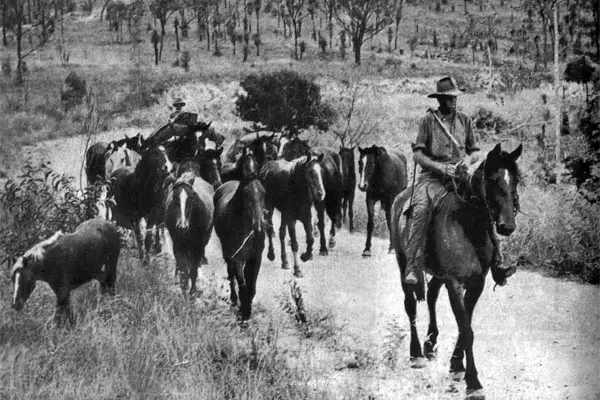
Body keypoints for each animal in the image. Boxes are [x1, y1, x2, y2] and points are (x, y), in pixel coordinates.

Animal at [213, 150, 264, 322]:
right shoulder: (236, 257)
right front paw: (244, 310)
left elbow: (252, 284)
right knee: (231, 275)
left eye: (263, 193)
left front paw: (248, 307)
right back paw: (235, 301)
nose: (259, 227)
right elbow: (241, 282)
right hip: (228, 253)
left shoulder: (256, 257)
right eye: (246, 194)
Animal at [392, 142, 524, 398]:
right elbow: (466, 329)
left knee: (431, 295)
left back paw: (430, 344)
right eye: (493, 179)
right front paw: (473, 382)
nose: (507, 226)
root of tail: (399, 197)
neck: (467, 224)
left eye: (515, 179)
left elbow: (465, 326)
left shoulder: (476, 283)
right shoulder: (454, 283)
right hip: (403, 262)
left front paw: (456, 366)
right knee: (411, 304)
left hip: (438, 273)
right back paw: (416, 353)